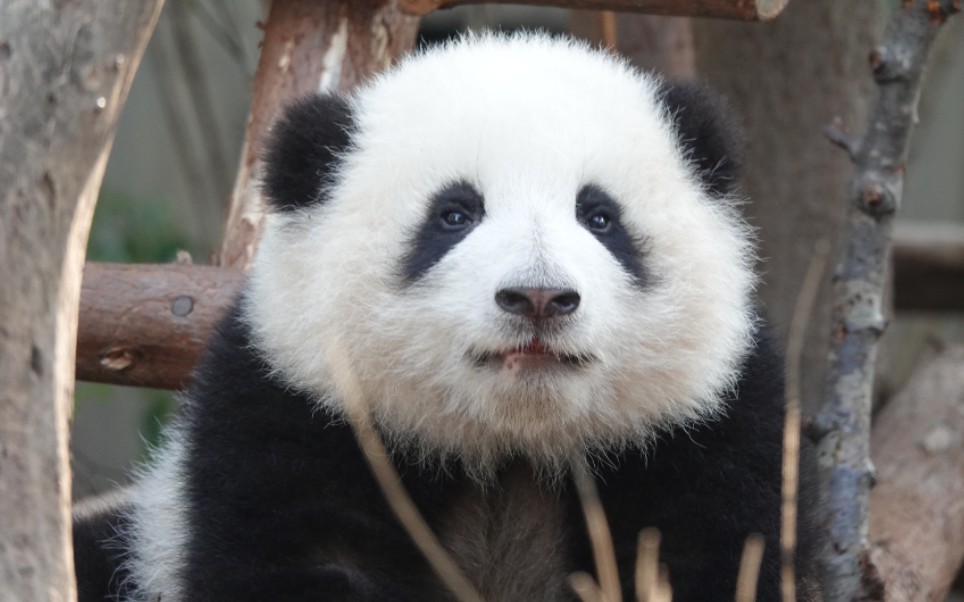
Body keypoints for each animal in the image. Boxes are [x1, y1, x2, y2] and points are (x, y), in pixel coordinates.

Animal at [74, 33, 821, 601]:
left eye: (600, 217)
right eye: (454, 214)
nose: (539, 297)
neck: (509, 450)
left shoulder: (707, 428)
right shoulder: (293, 413)